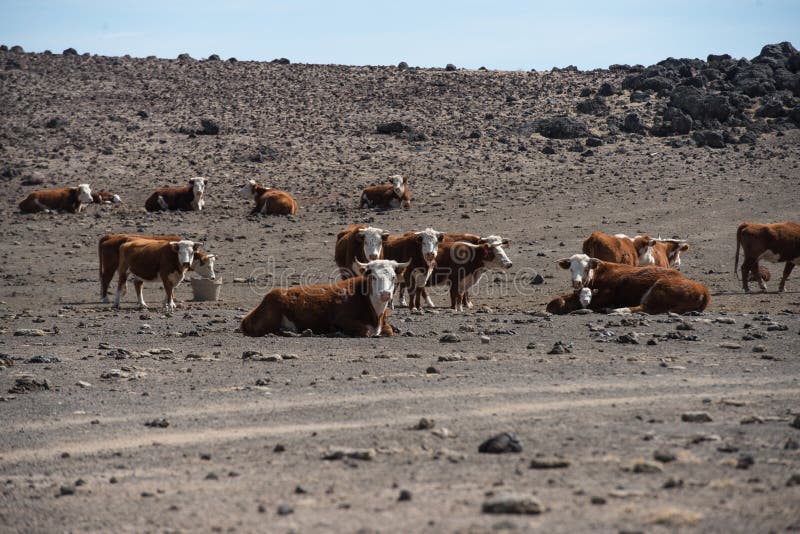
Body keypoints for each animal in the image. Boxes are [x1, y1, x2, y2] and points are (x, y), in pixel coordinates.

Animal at [240, 259, 410, 337]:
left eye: (393, 277)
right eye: (373, 277)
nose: (385, 294)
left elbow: (389, 330)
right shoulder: (342, 319)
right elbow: (365, 330)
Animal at [555, 254, 710, 314]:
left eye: (586, 268)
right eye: (571, 268)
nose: (577, 282)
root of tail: (703, 290)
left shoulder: (607, 293)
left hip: (659, 289)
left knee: (644, 308)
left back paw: (616, 310)